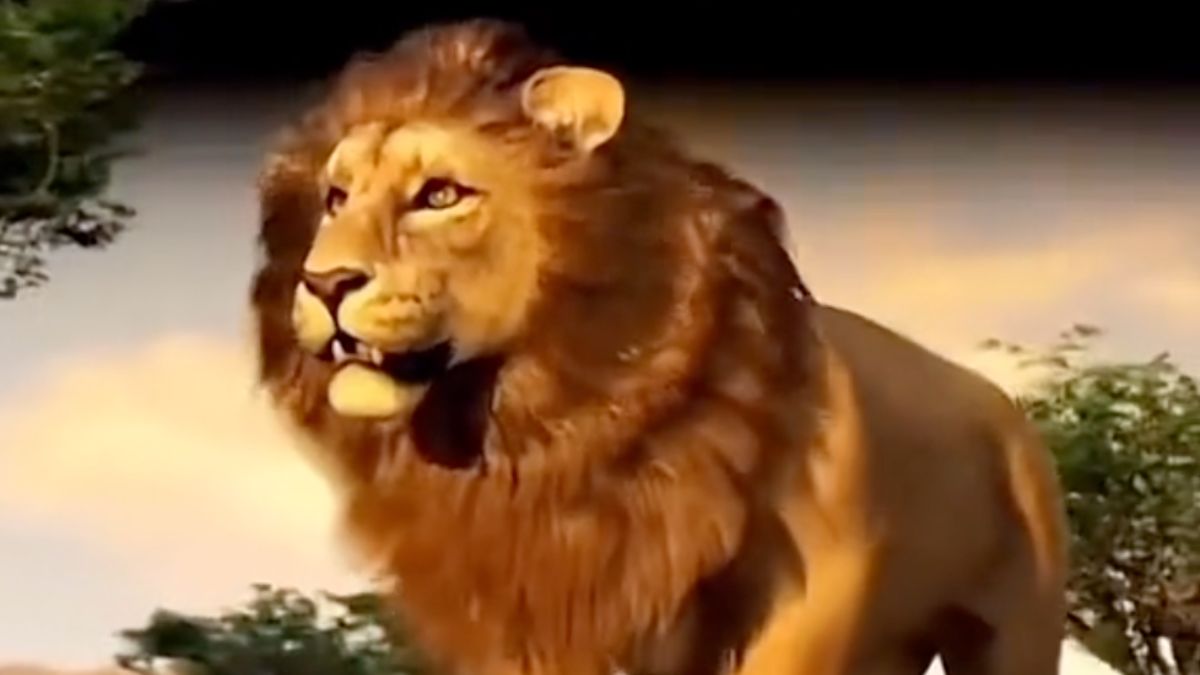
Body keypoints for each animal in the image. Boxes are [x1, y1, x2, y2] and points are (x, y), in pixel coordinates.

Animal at [249, 19, 1069, 675]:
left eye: (441, 195)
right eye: (335, 199)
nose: (324, 283)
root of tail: (1006, 411)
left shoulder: (813, 599)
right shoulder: (533, 613)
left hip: (1011, 629)